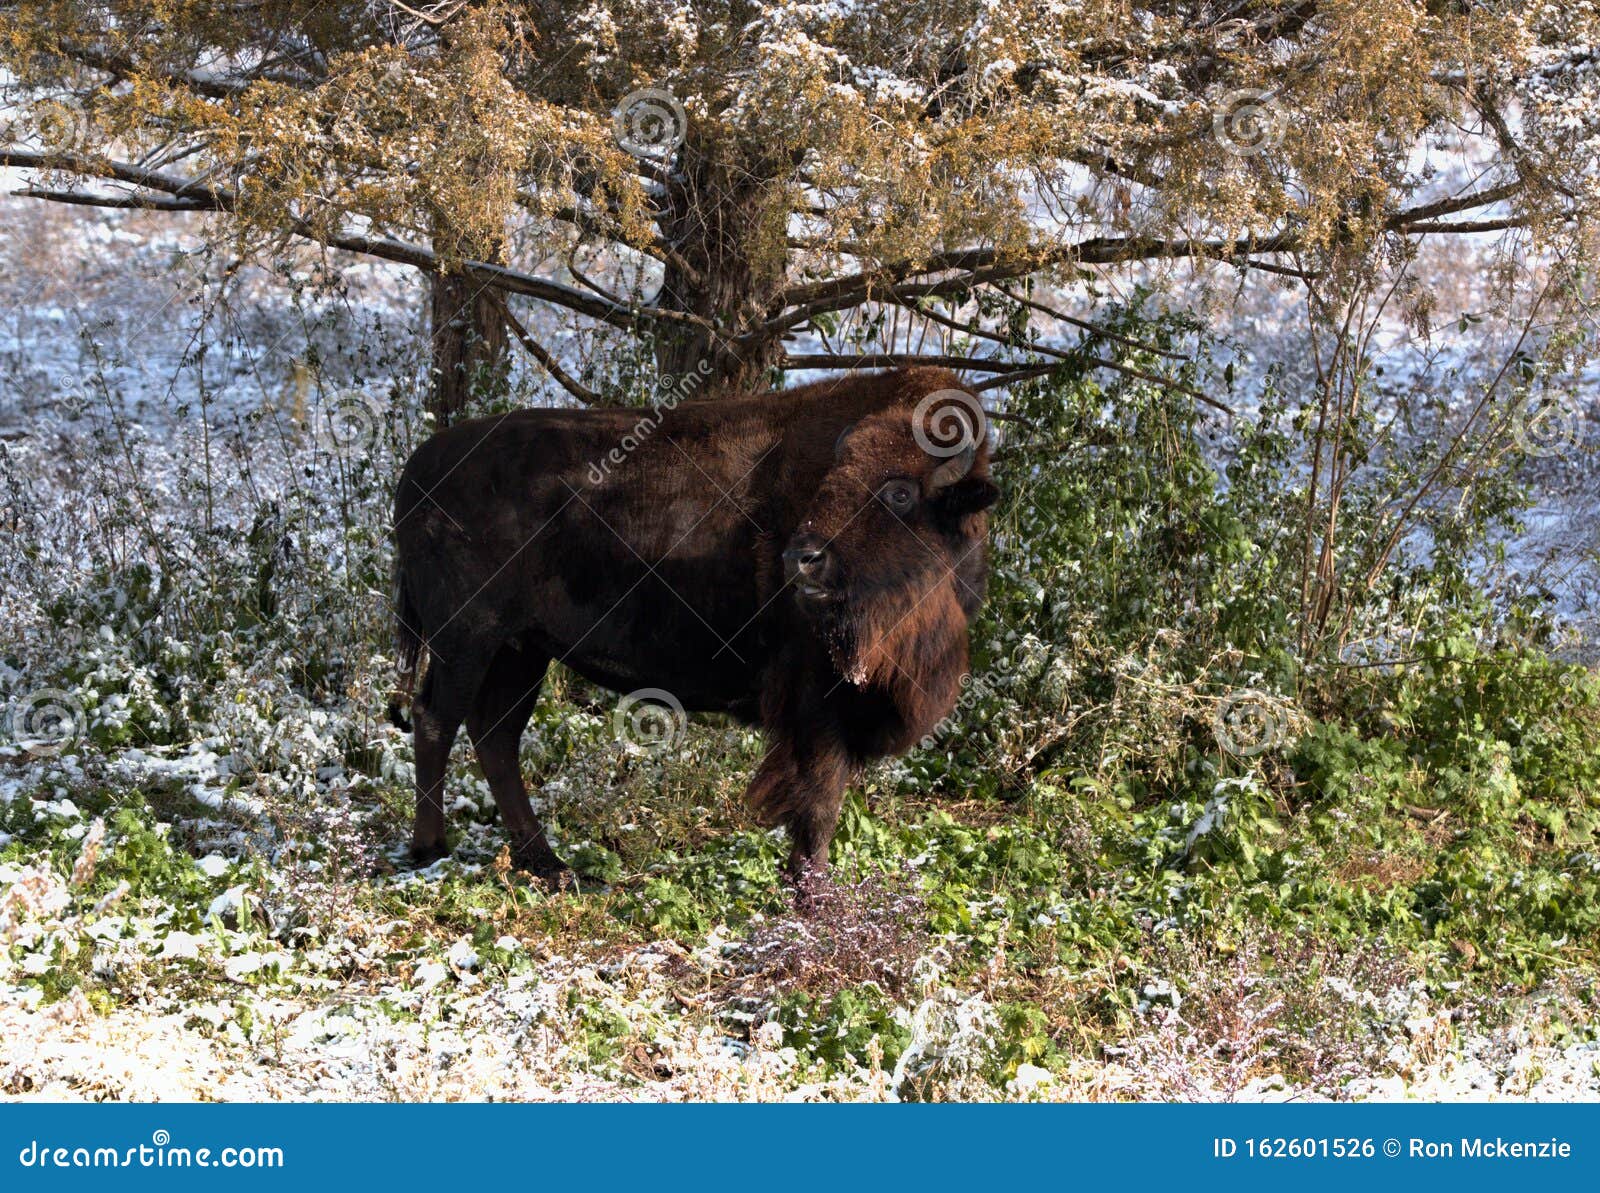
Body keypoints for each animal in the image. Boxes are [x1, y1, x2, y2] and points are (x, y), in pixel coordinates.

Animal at [388, 366, 998, 890]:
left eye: (900, 493)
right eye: (831, 481)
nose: (802, 559)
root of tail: (419, 466)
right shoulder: (816, 703)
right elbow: (819, 802)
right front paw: (809, 893)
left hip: (521, 650)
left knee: (495, 735)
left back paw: (548, 864)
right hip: (468, 638)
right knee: (437, 718)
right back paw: (431, 850)